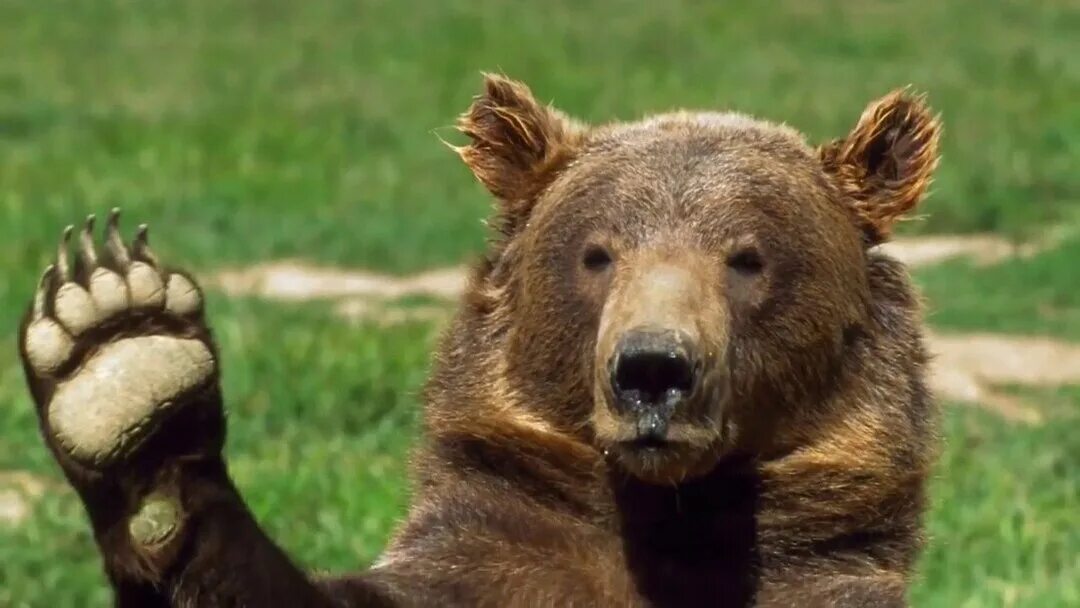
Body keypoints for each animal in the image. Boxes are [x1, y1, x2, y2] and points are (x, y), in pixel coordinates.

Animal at [18, 73, 941, 607]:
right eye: (597, 252)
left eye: (747, 257)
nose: (652, 370)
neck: (667, 515)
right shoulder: (491, 557)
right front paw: (120, 358)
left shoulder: (812, 575)